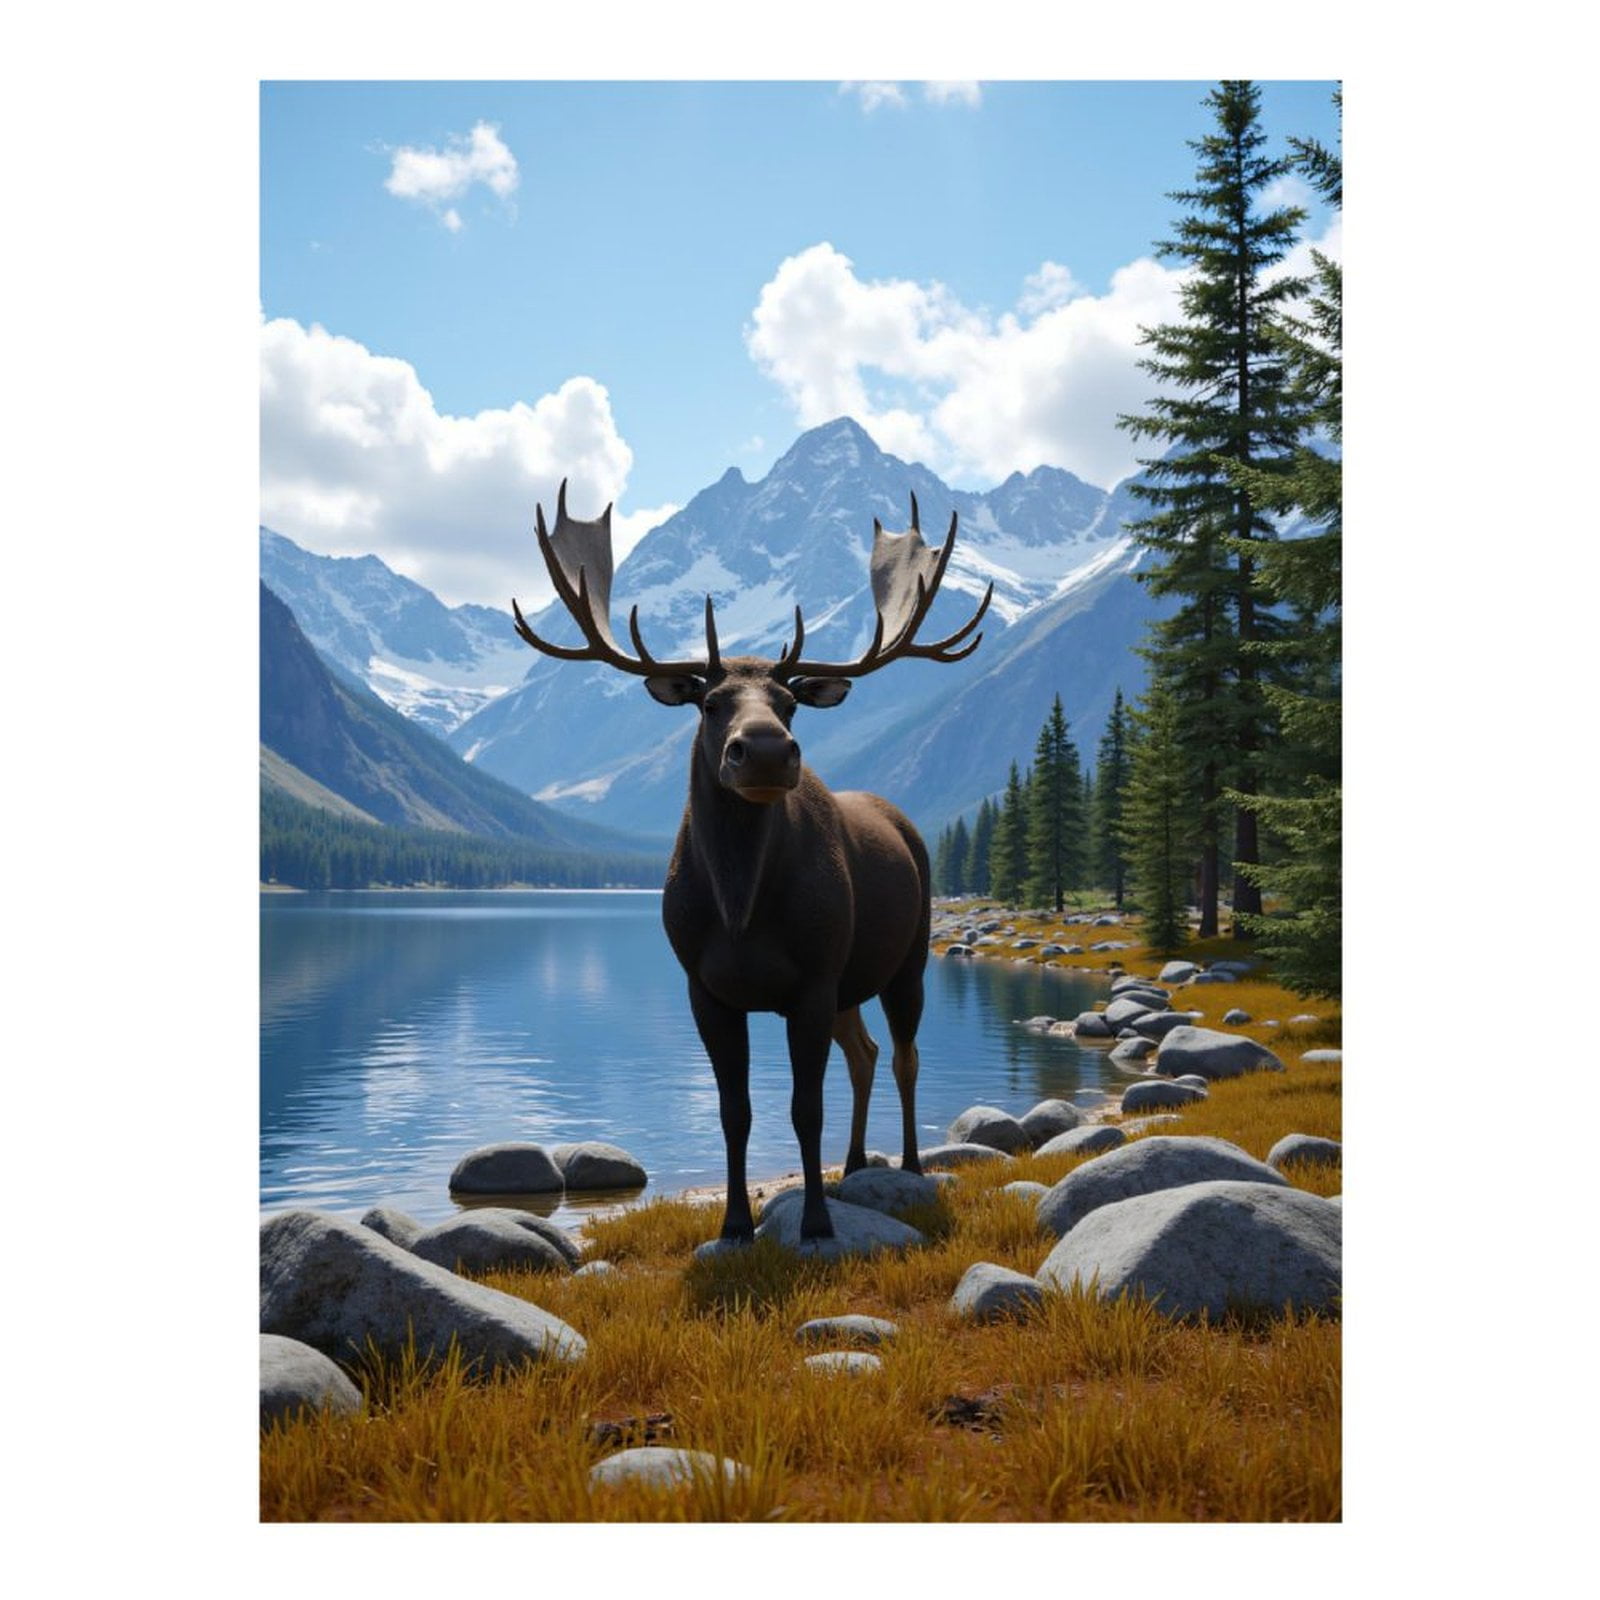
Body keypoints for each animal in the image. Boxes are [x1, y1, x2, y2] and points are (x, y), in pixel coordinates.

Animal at [512, 482, 992, 1244]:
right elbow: (734, 1112)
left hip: (906, 962)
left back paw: (911, 1165)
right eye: (709, 702)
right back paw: (857, 1162)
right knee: (866, 1055)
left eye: (791, 703)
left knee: (905, 1058)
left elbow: (805, 1108)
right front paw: (735, 1221)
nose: (764, 750)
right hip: (852, 986)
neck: (740, 908)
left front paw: (817, 1222)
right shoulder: (707, 990)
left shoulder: (813, 983)